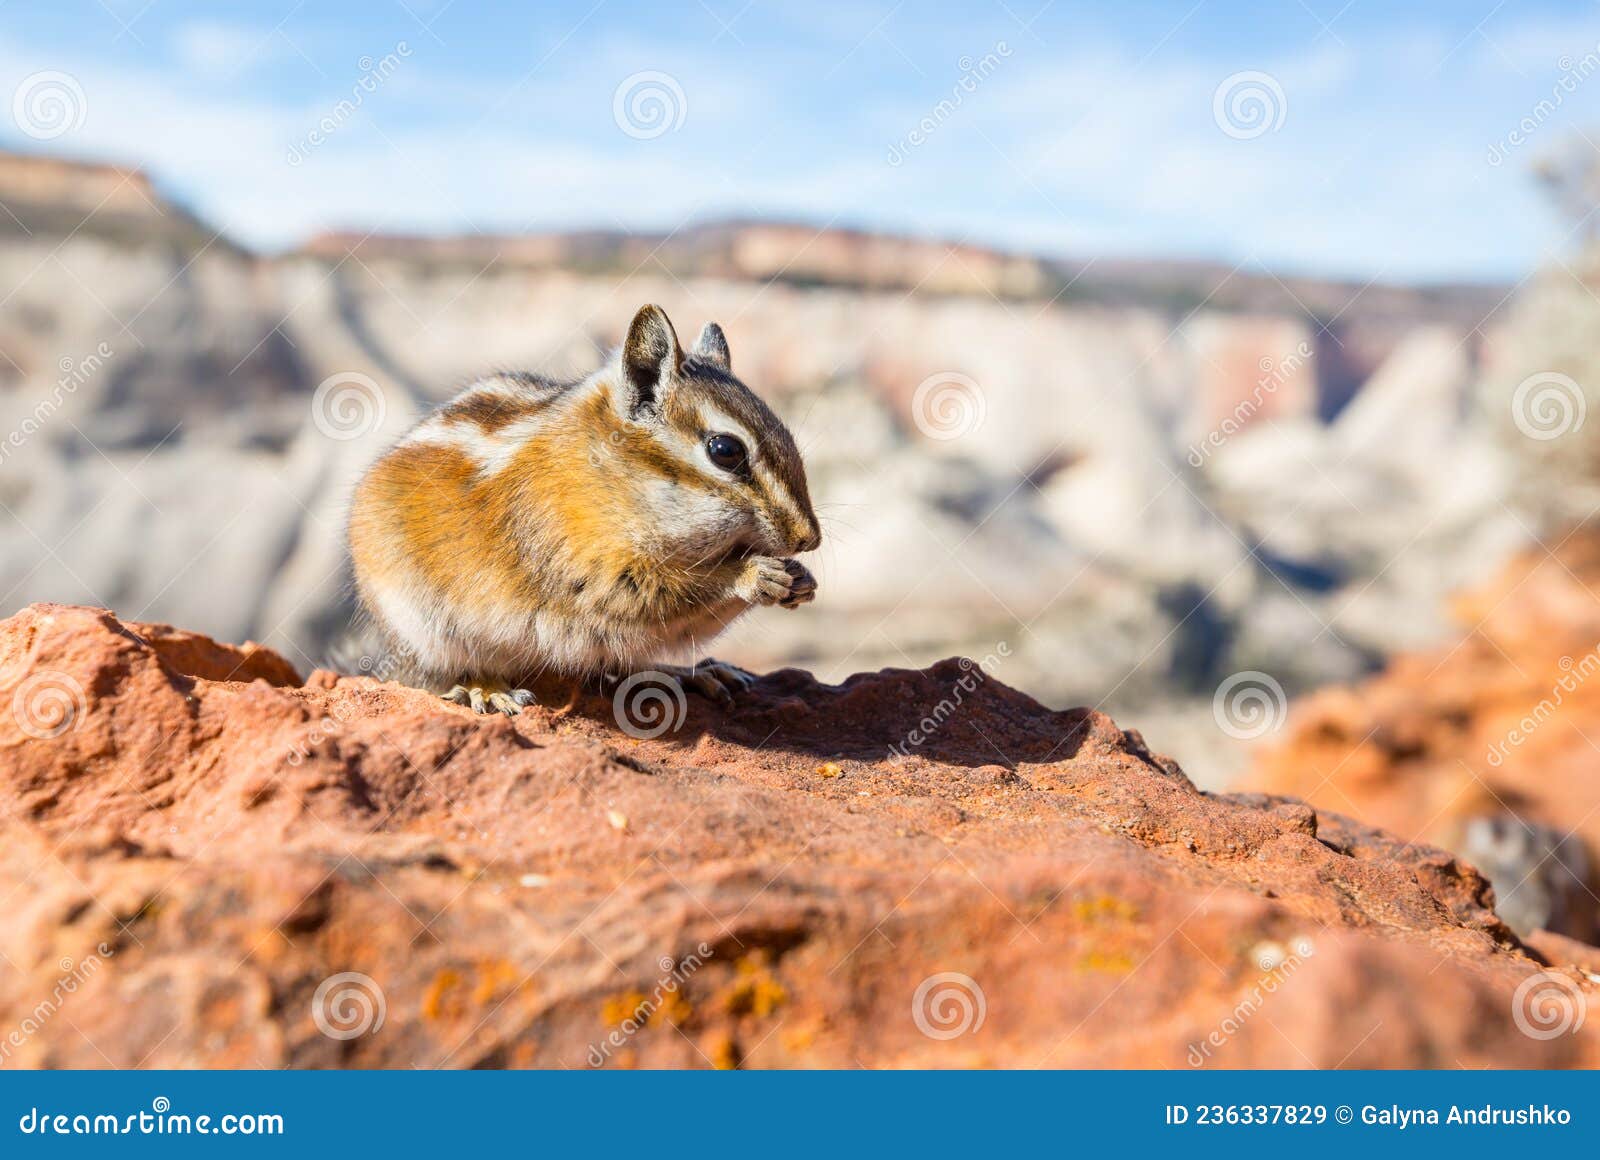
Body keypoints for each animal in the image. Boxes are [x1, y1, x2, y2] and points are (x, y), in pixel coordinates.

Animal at [346, 304, 821, 715]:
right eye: (725, 451)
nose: (809, 539)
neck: (613, 477)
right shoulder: (583, 562)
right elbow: (658, 593)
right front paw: (755, 574)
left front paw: (801, 577)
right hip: (427, 633)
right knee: (446, 675)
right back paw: (488, 689)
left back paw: (690, 674)